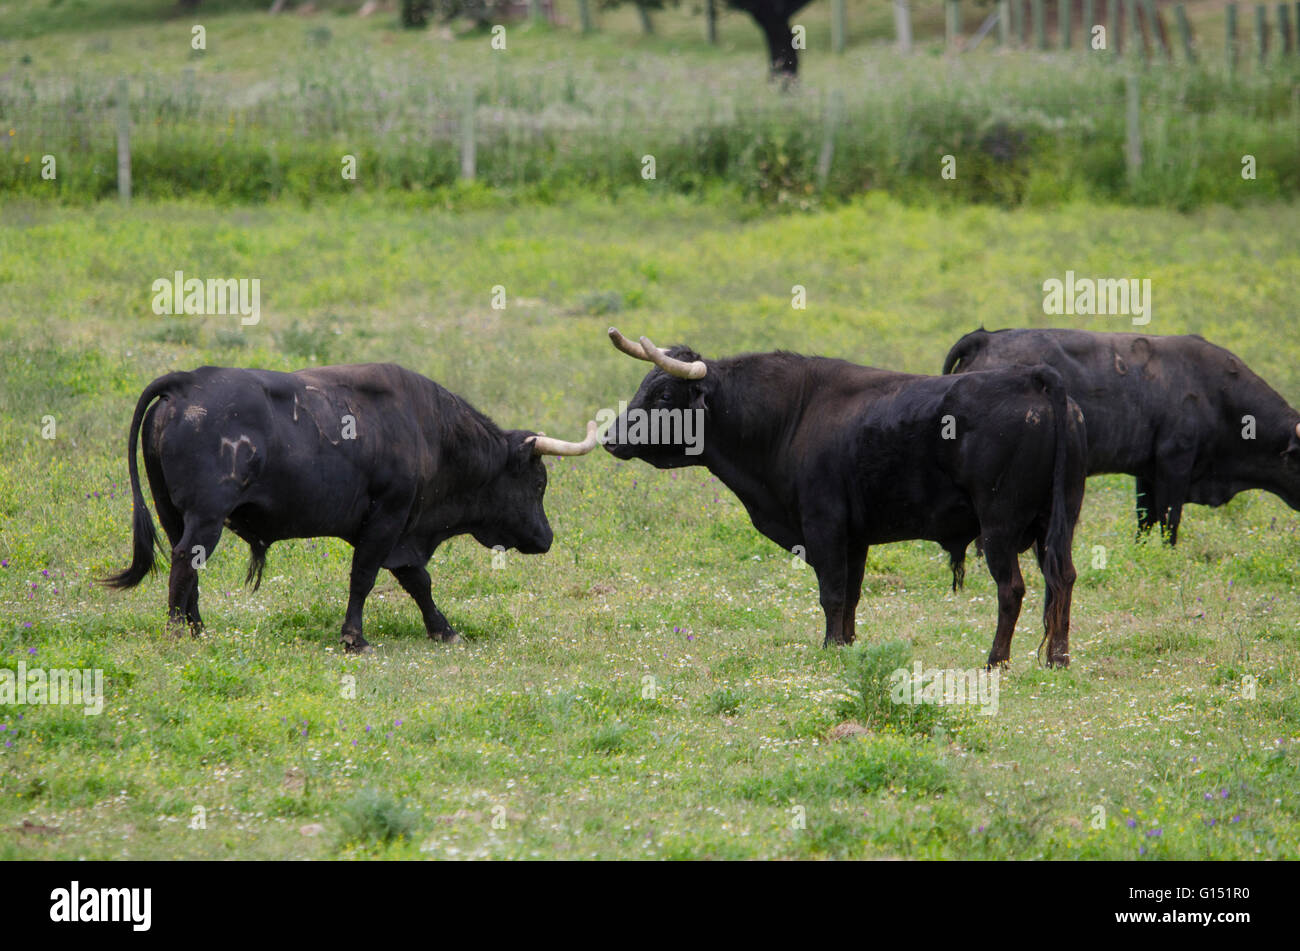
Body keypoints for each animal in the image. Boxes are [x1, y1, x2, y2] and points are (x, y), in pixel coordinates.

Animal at [102, 363, 598, 653]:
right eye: (539, 482)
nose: (546, 538)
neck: (428, 430)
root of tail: (186, 382)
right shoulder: (388, 519)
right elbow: (365, 577)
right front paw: (354, 638)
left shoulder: (402, 531)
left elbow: (418, 582)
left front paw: (443, 628)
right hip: (205, 517)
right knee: (185, 563)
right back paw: (179, 635)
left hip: (174, 514)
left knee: (188, 568)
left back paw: (197, 629)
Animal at [602, 328, 1088, 668]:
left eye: (664, 394)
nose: (610, 437)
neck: (790, 417)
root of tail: (1033, 378)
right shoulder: (856, 538)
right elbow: (852, 594)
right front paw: (848, 644)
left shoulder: (825, 527)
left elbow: (832, 593)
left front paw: (830, 646)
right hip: (1057, 523)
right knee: (1062, 579)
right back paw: (1057, 659)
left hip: (999, 526)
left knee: (1012, 589)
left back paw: (995, 660)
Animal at [943, 328, 1300, 544]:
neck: (1216, 392)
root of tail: (985, 338)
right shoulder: (1174, 465)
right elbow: (1169, 523)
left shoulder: (1148, 473)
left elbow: (1145, 522)